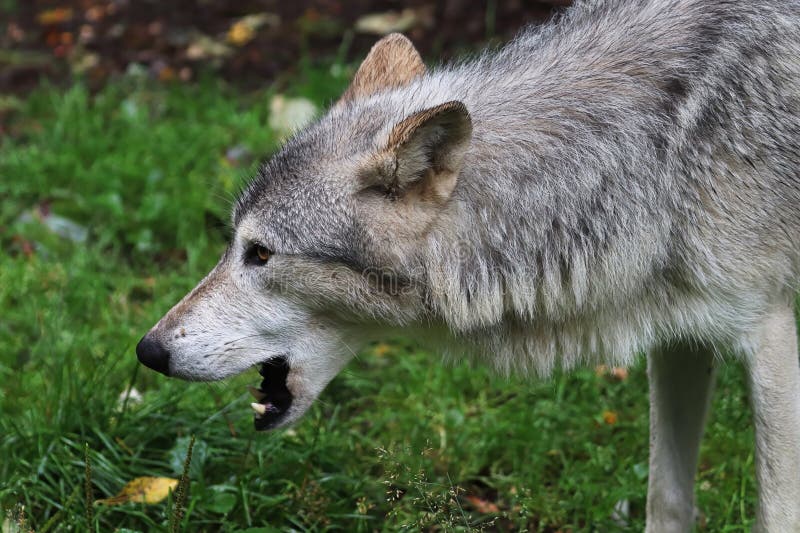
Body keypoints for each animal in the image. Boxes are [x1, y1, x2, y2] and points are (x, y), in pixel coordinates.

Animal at [137, 0, 800, 529]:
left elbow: (774, 513)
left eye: (261, 253)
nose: (147, 350)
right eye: (232, 244)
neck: (652, 159)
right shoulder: (681, 337)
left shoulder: (769, 337)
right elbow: (666, 498)